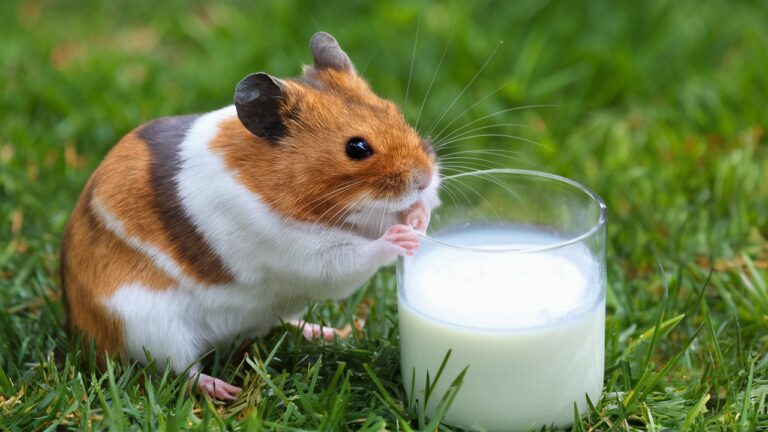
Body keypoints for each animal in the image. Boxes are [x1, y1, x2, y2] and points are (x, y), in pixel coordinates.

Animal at [60, 32, 440, 400]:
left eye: (392, 110)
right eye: (357, 148)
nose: (425, 178)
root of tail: (83, 336)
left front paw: (418, 216)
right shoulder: (301, 254)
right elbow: (356, 255)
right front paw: (403, 237)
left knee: (278, 324)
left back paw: (328, 332)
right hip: (151, 330)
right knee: (179, 371)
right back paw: (226, 390)